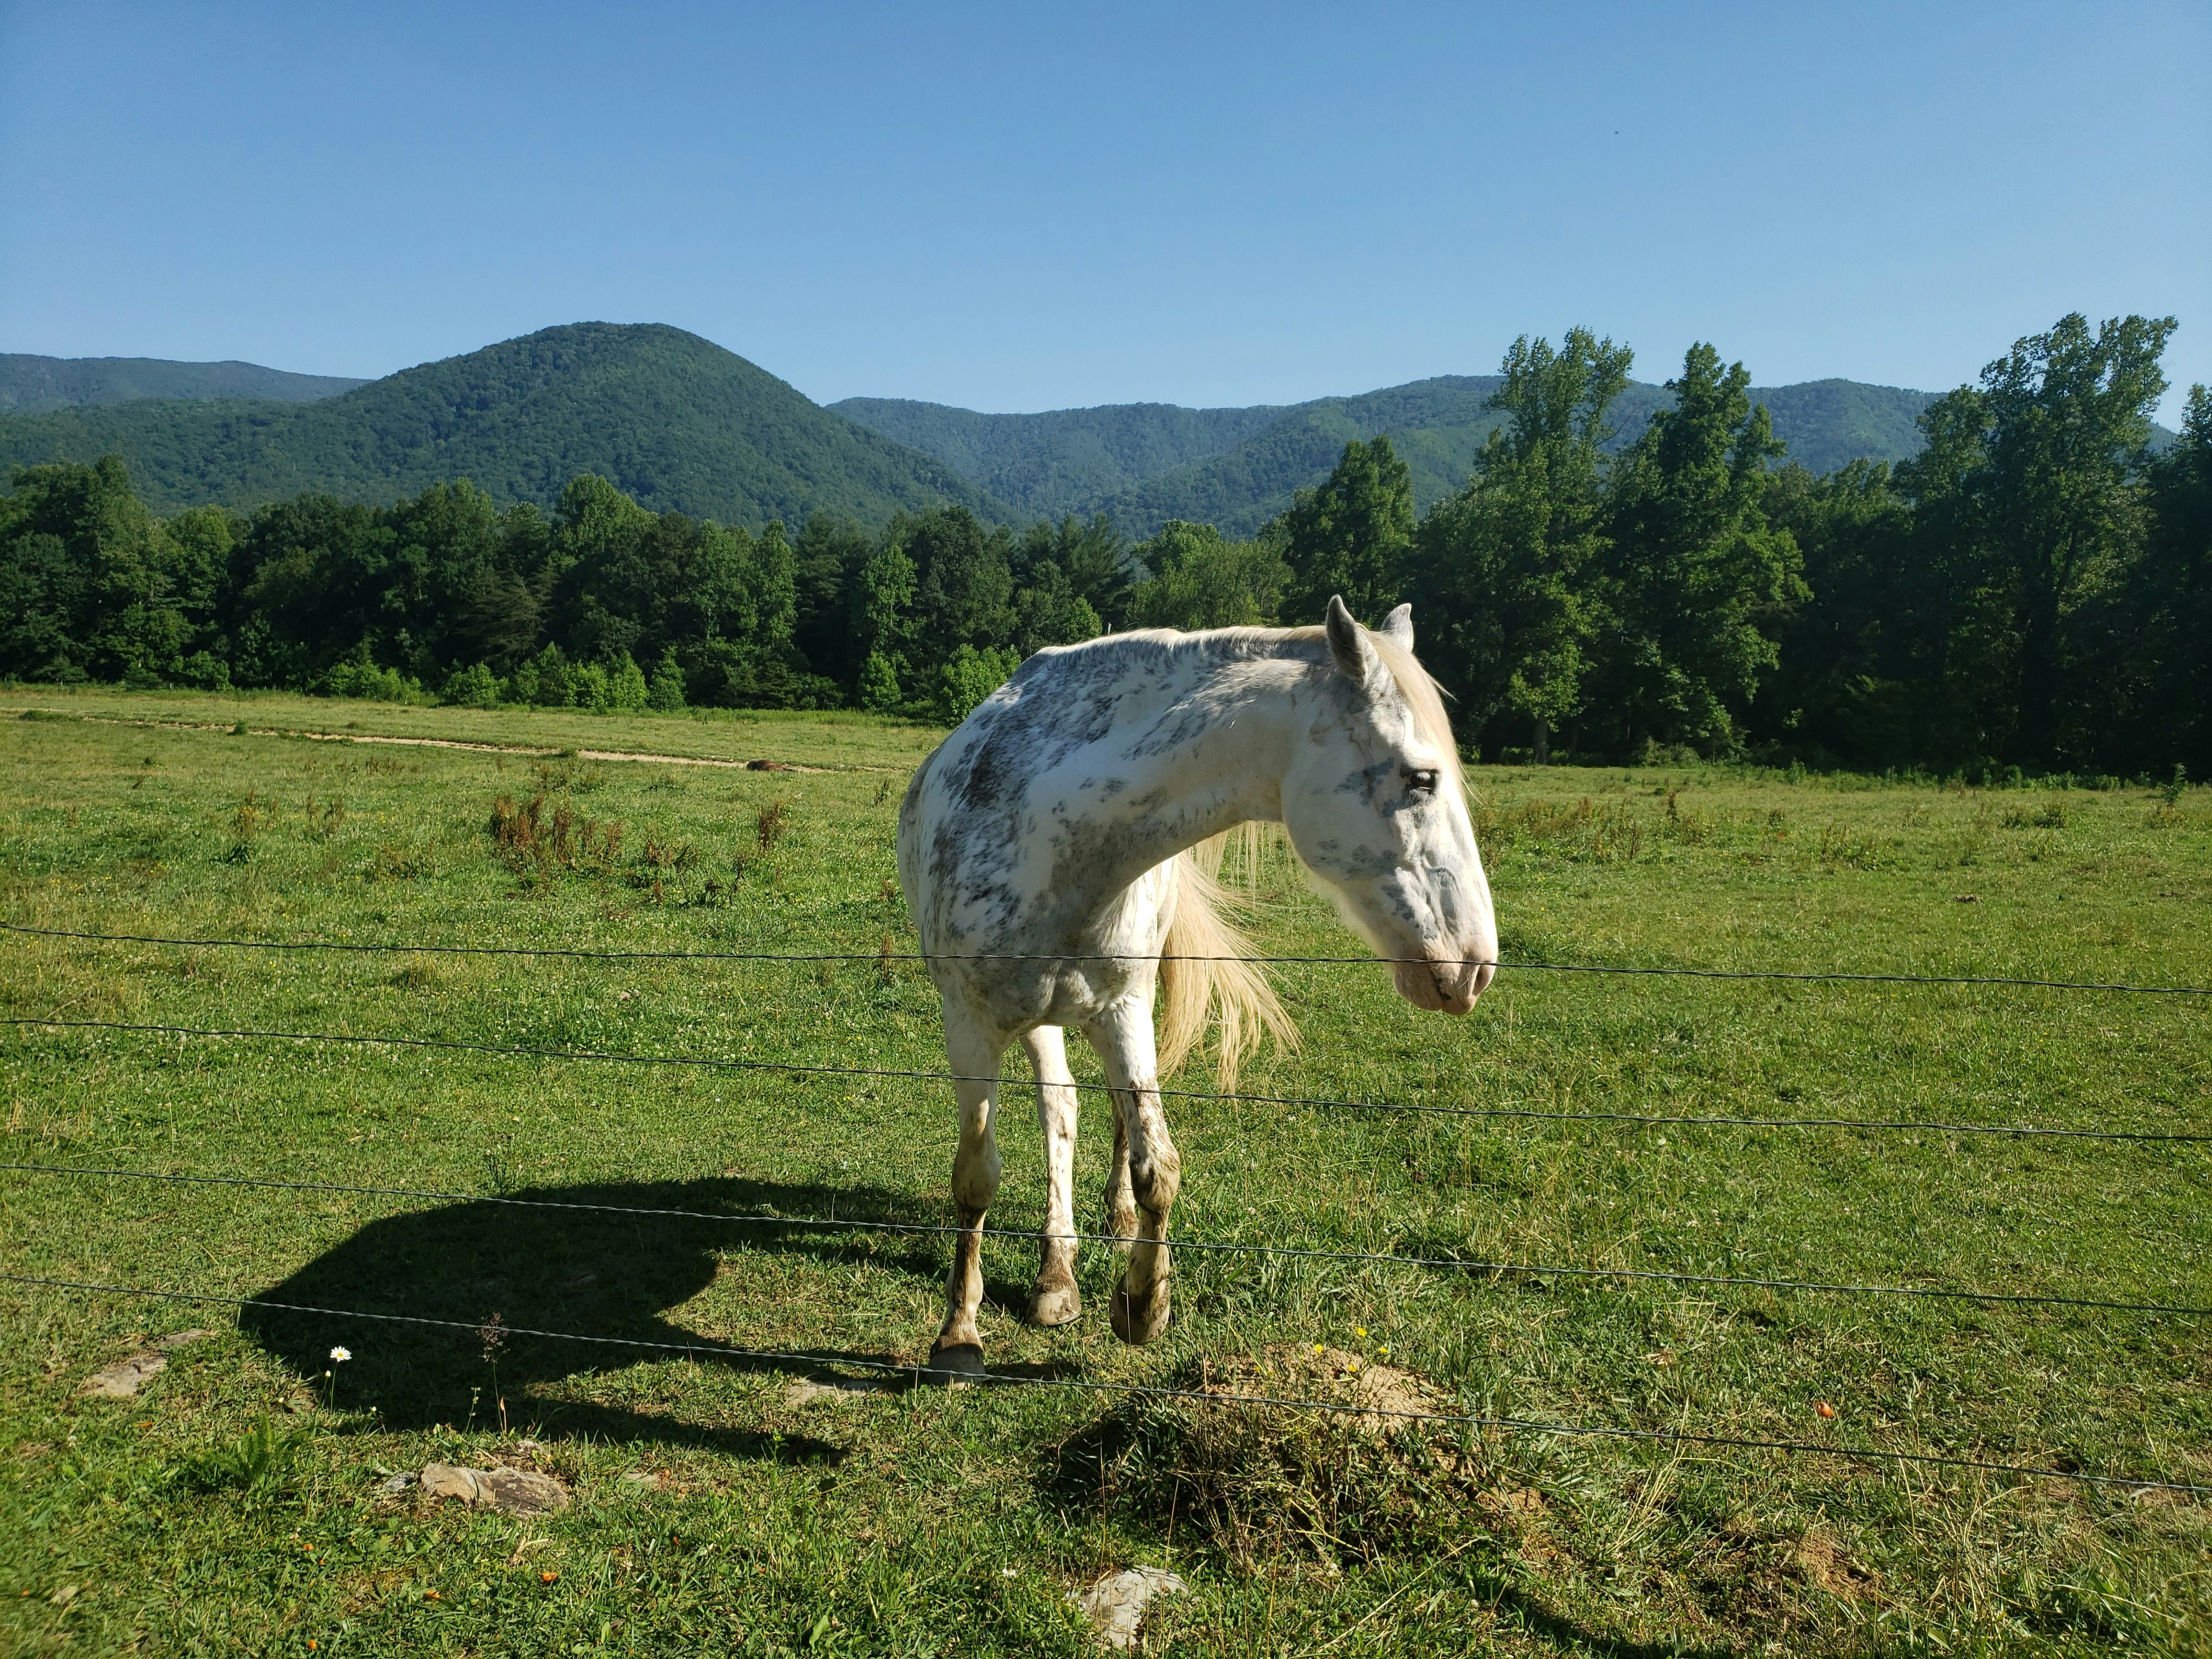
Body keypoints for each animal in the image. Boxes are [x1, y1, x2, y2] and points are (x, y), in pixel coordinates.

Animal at [896, 596, 1498, 1376]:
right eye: (1421, 777)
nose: (1476, 965)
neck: (1057, 837)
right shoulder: (969, 1028)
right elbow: (977, 1177)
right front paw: (958, 1334)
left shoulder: (1122, 1010)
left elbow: (1158, 1165)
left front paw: (1143, 1305)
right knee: (1061, 1108)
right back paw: (1055, 1277)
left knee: (1096, 1112)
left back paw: (1088, 1248)